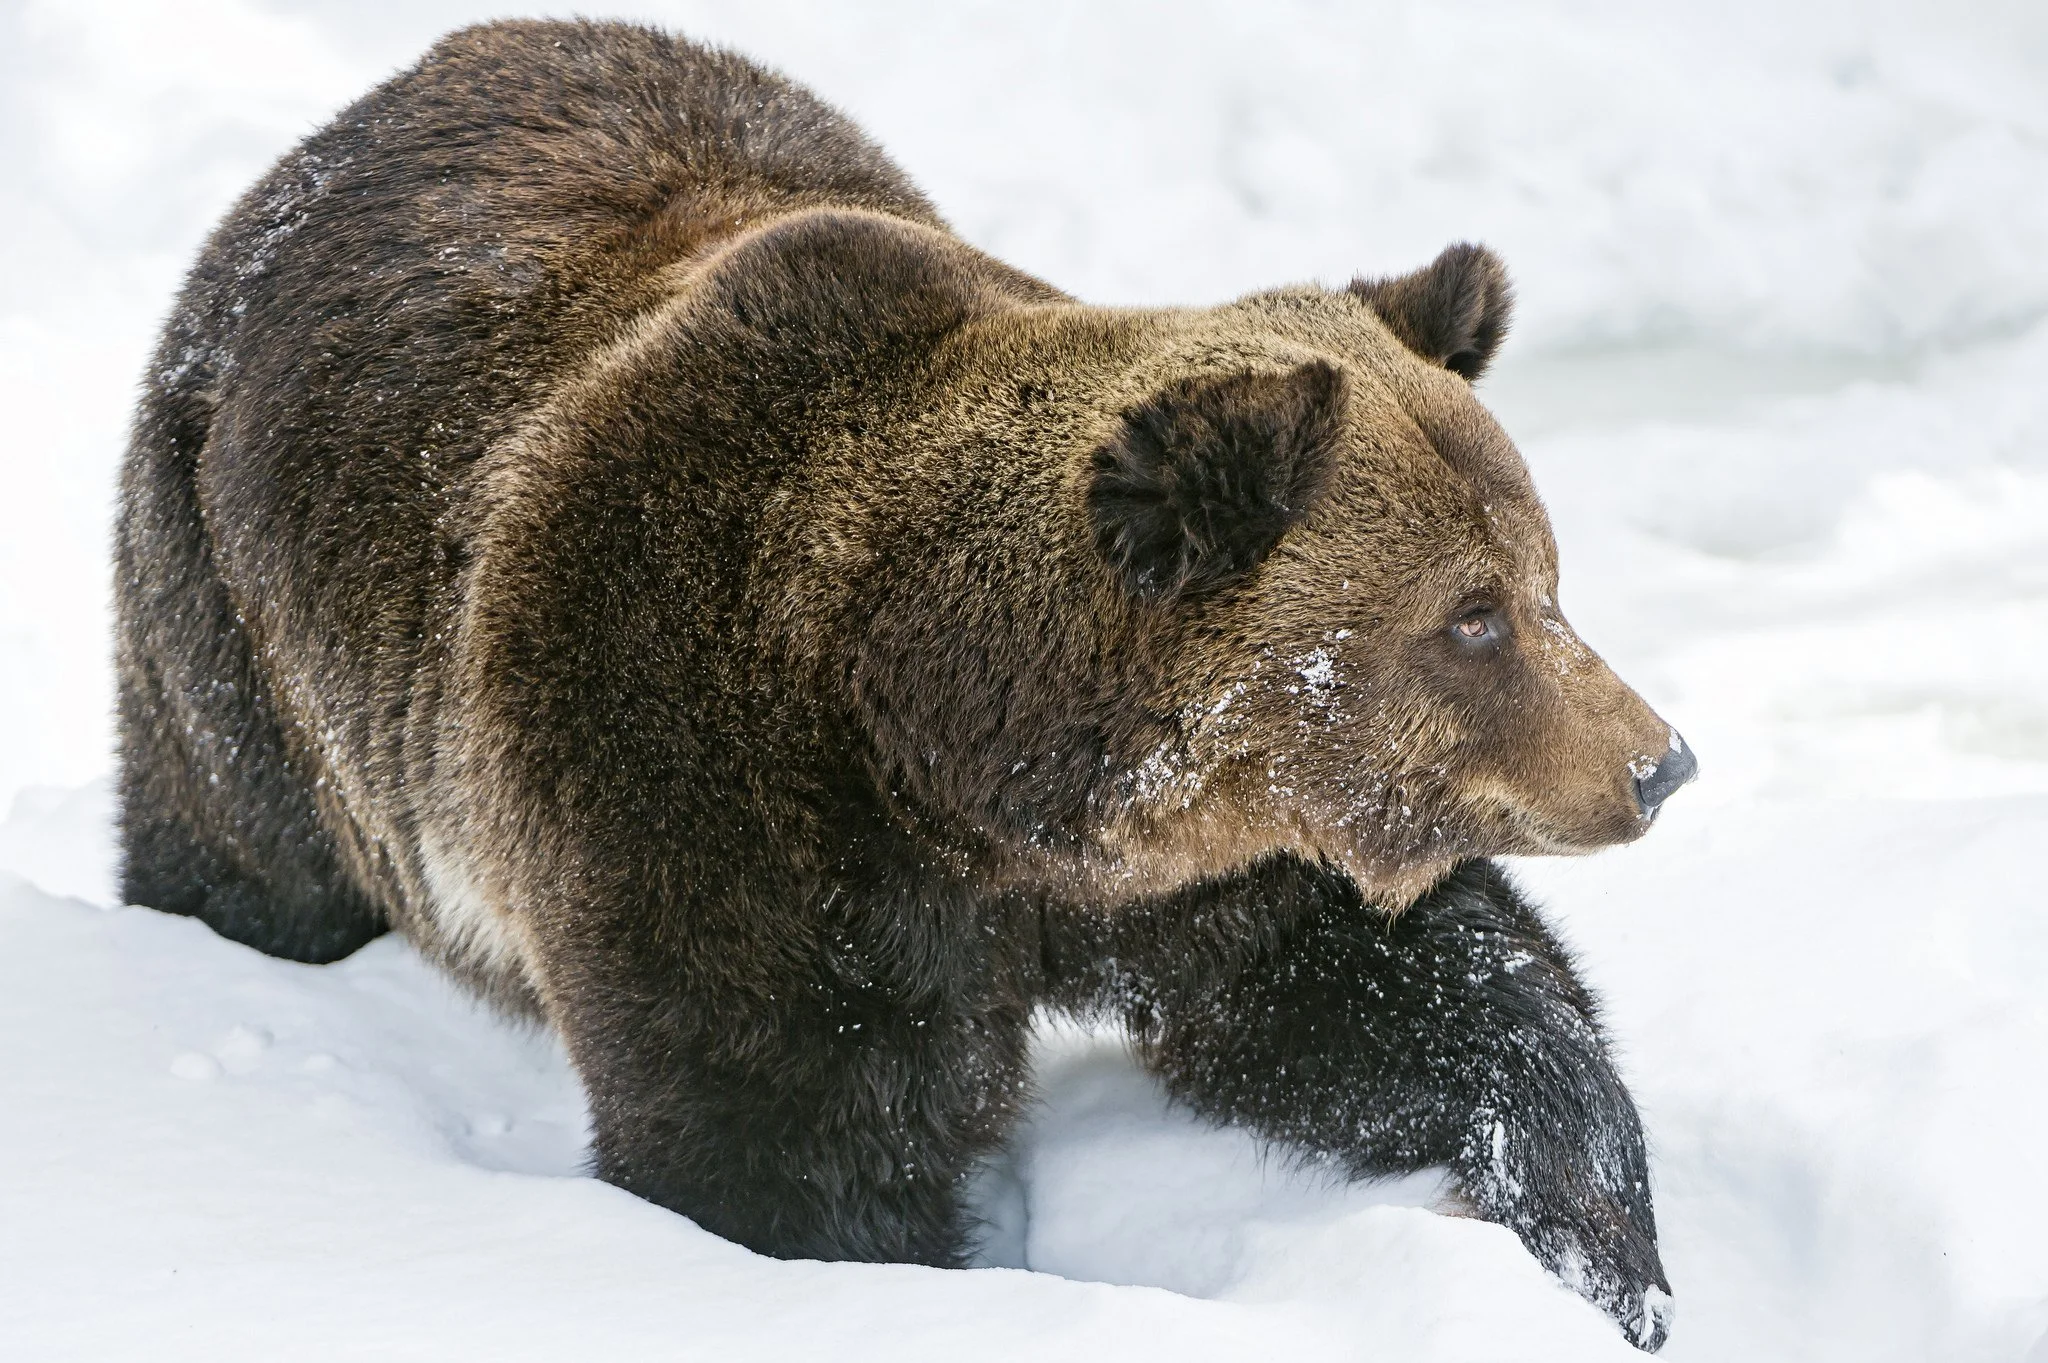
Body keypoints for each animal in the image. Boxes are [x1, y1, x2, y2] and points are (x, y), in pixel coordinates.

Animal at [114, 19, 1696, 1350]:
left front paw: (1596, 1244)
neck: (957, 752)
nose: (1658, 761)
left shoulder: (1215, 864)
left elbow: (1401, 993)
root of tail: (345, 132)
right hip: (232, 621)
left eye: (1543, 579)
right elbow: (789, 1142)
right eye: (1471, 618)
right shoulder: (703, 805)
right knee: (240, 847)